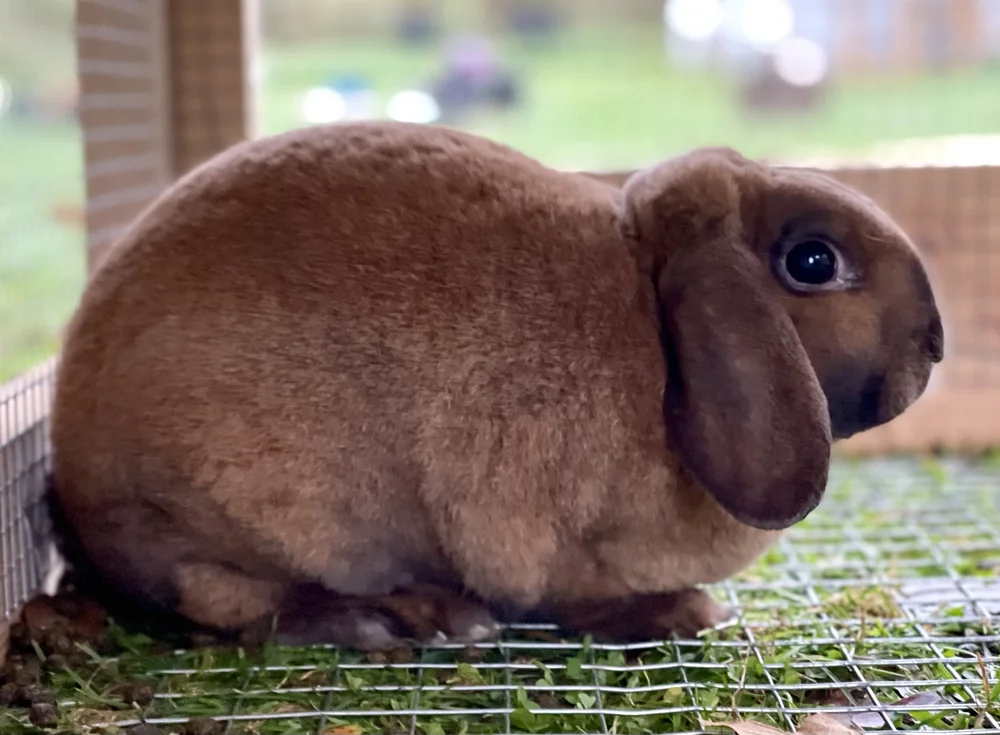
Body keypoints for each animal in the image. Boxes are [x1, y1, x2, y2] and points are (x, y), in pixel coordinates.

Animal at [48, 120, 943, 650]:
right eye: (813, 261)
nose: (934, 342)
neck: (654, 322)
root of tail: (76, 493)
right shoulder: (558, 544)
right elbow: (573, 598)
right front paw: (685, 613)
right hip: (233, 515)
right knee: (221, 601)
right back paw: (401, 617)